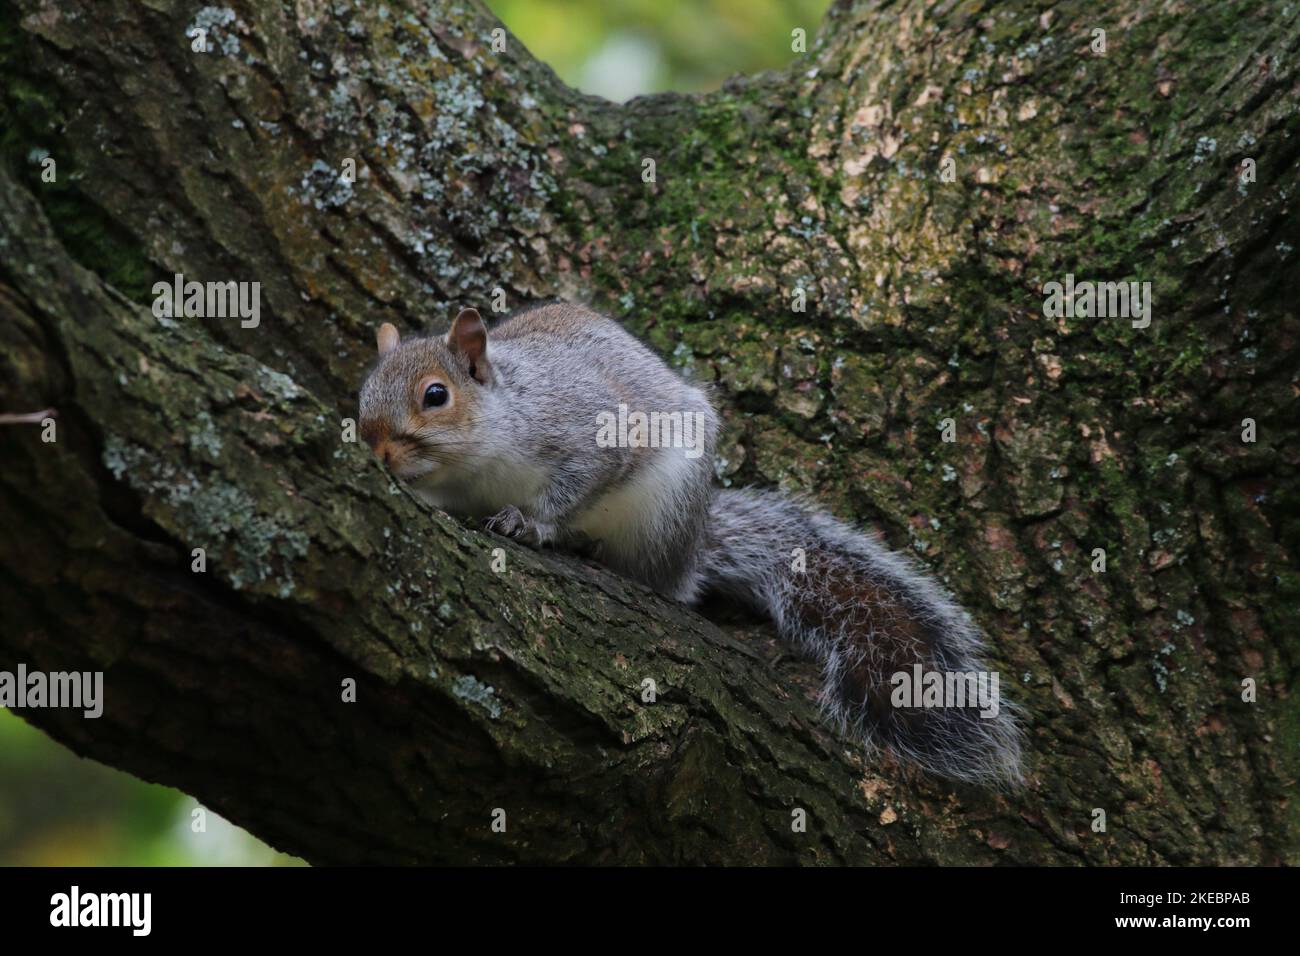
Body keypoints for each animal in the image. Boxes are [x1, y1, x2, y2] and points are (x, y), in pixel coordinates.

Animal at [358, 302, 1024, 788]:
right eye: (363, 397)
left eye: (436, 395)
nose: (380, 453)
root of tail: (692, 550)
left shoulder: (587, 434)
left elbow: (575, 486)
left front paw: (533, 524)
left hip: (664, 512)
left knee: (663, 584)